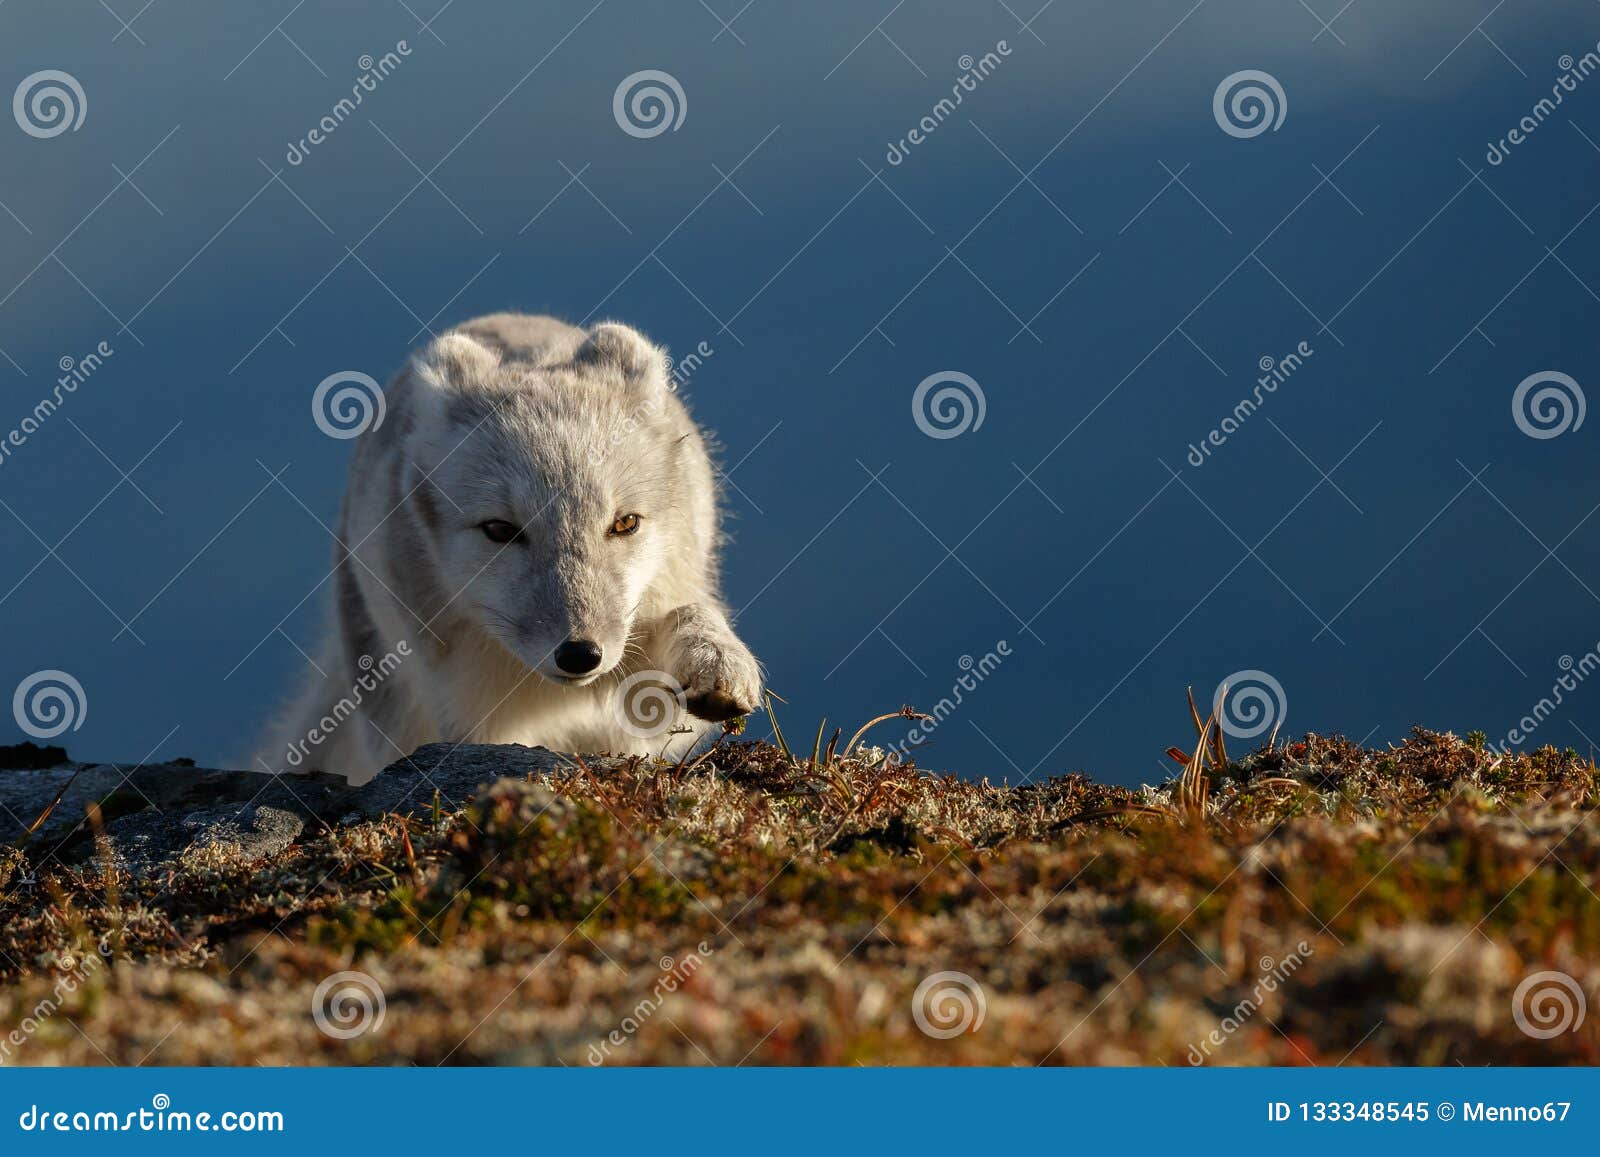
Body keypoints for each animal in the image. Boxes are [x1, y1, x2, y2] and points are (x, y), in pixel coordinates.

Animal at [255, 313, 763, 783]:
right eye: (500, 530)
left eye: (625, 524)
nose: (580, 655)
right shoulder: (464, 706)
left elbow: (687, 615)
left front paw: (718, 662)